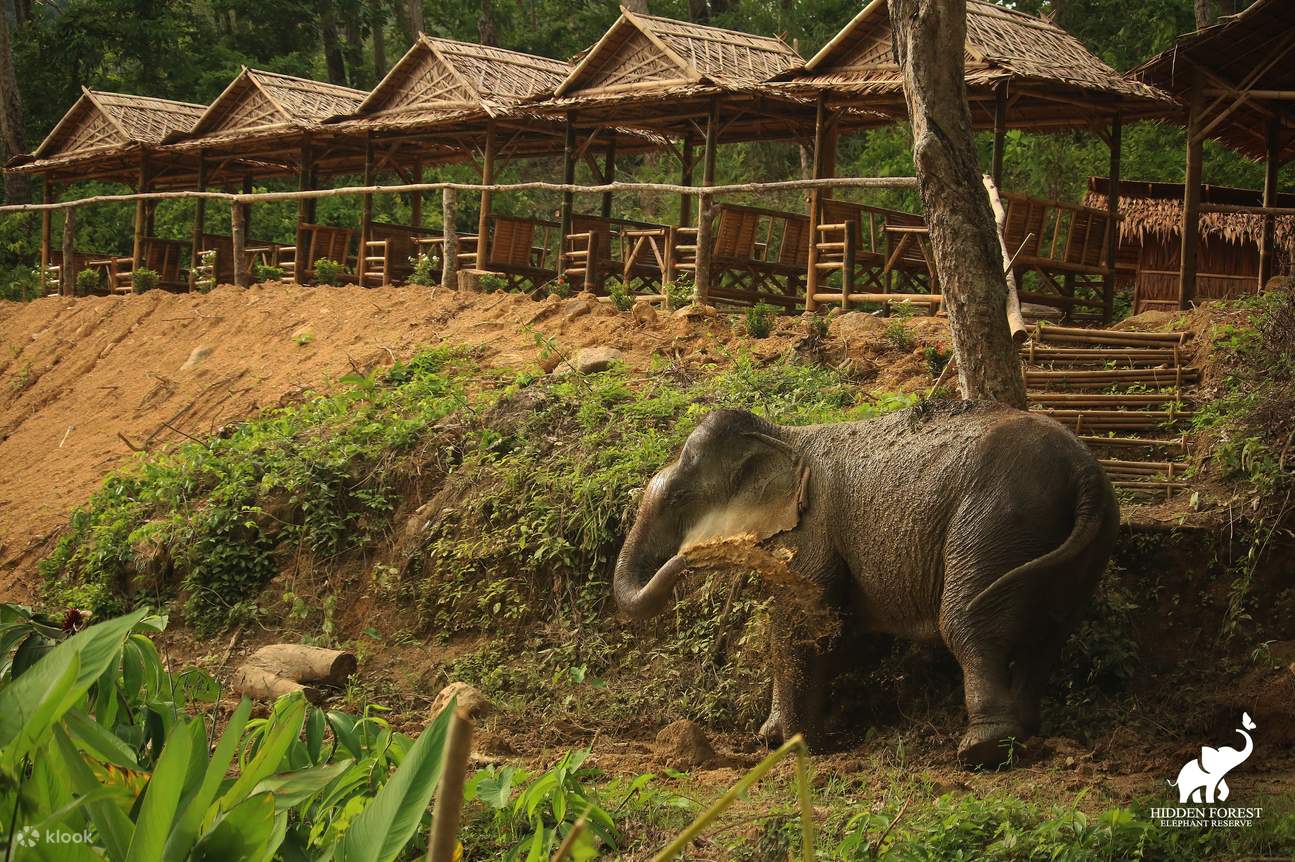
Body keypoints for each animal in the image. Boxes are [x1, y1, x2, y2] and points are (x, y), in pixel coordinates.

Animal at [612, 401, 1120, 767]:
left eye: (679, 498)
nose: (686, 557)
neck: (785, 435)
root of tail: (1084, 472)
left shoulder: (814, 528)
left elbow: (802, 623)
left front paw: (796, 747)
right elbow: (834, 631)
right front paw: (772, 738)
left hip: (994, 526)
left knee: (969, 624)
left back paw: (982, 752)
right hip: (1083, 546)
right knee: (1050, 635)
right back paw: (1028, 733)